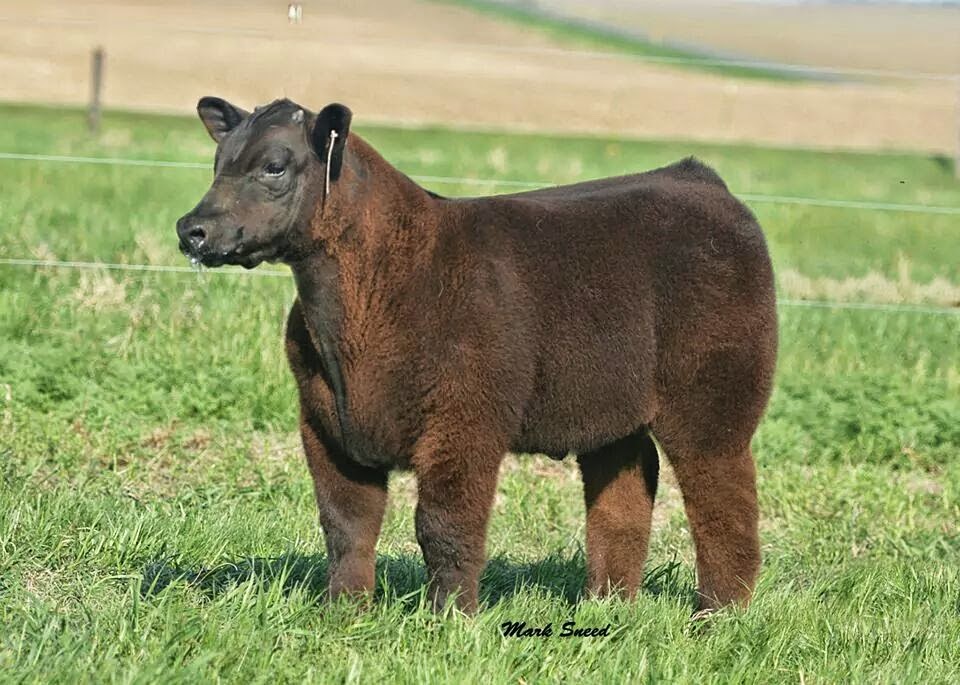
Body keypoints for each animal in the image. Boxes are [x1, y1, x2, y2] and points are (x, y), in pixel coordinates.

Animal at [175, 97, 778, 615]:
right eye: (218, 162)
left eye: (274, 166)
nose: (191, 229)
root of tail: (694, 177)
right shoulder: (325, 424)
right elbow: (346, 524)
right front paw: (342, 612)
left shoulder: (465, 420)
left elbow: (443, 526)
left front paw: (450, 619)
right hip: (611, 407)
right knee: (627, 484)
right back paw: (605, 604)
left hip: (714, 401)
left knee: (723, 497)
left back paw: (719, 614)